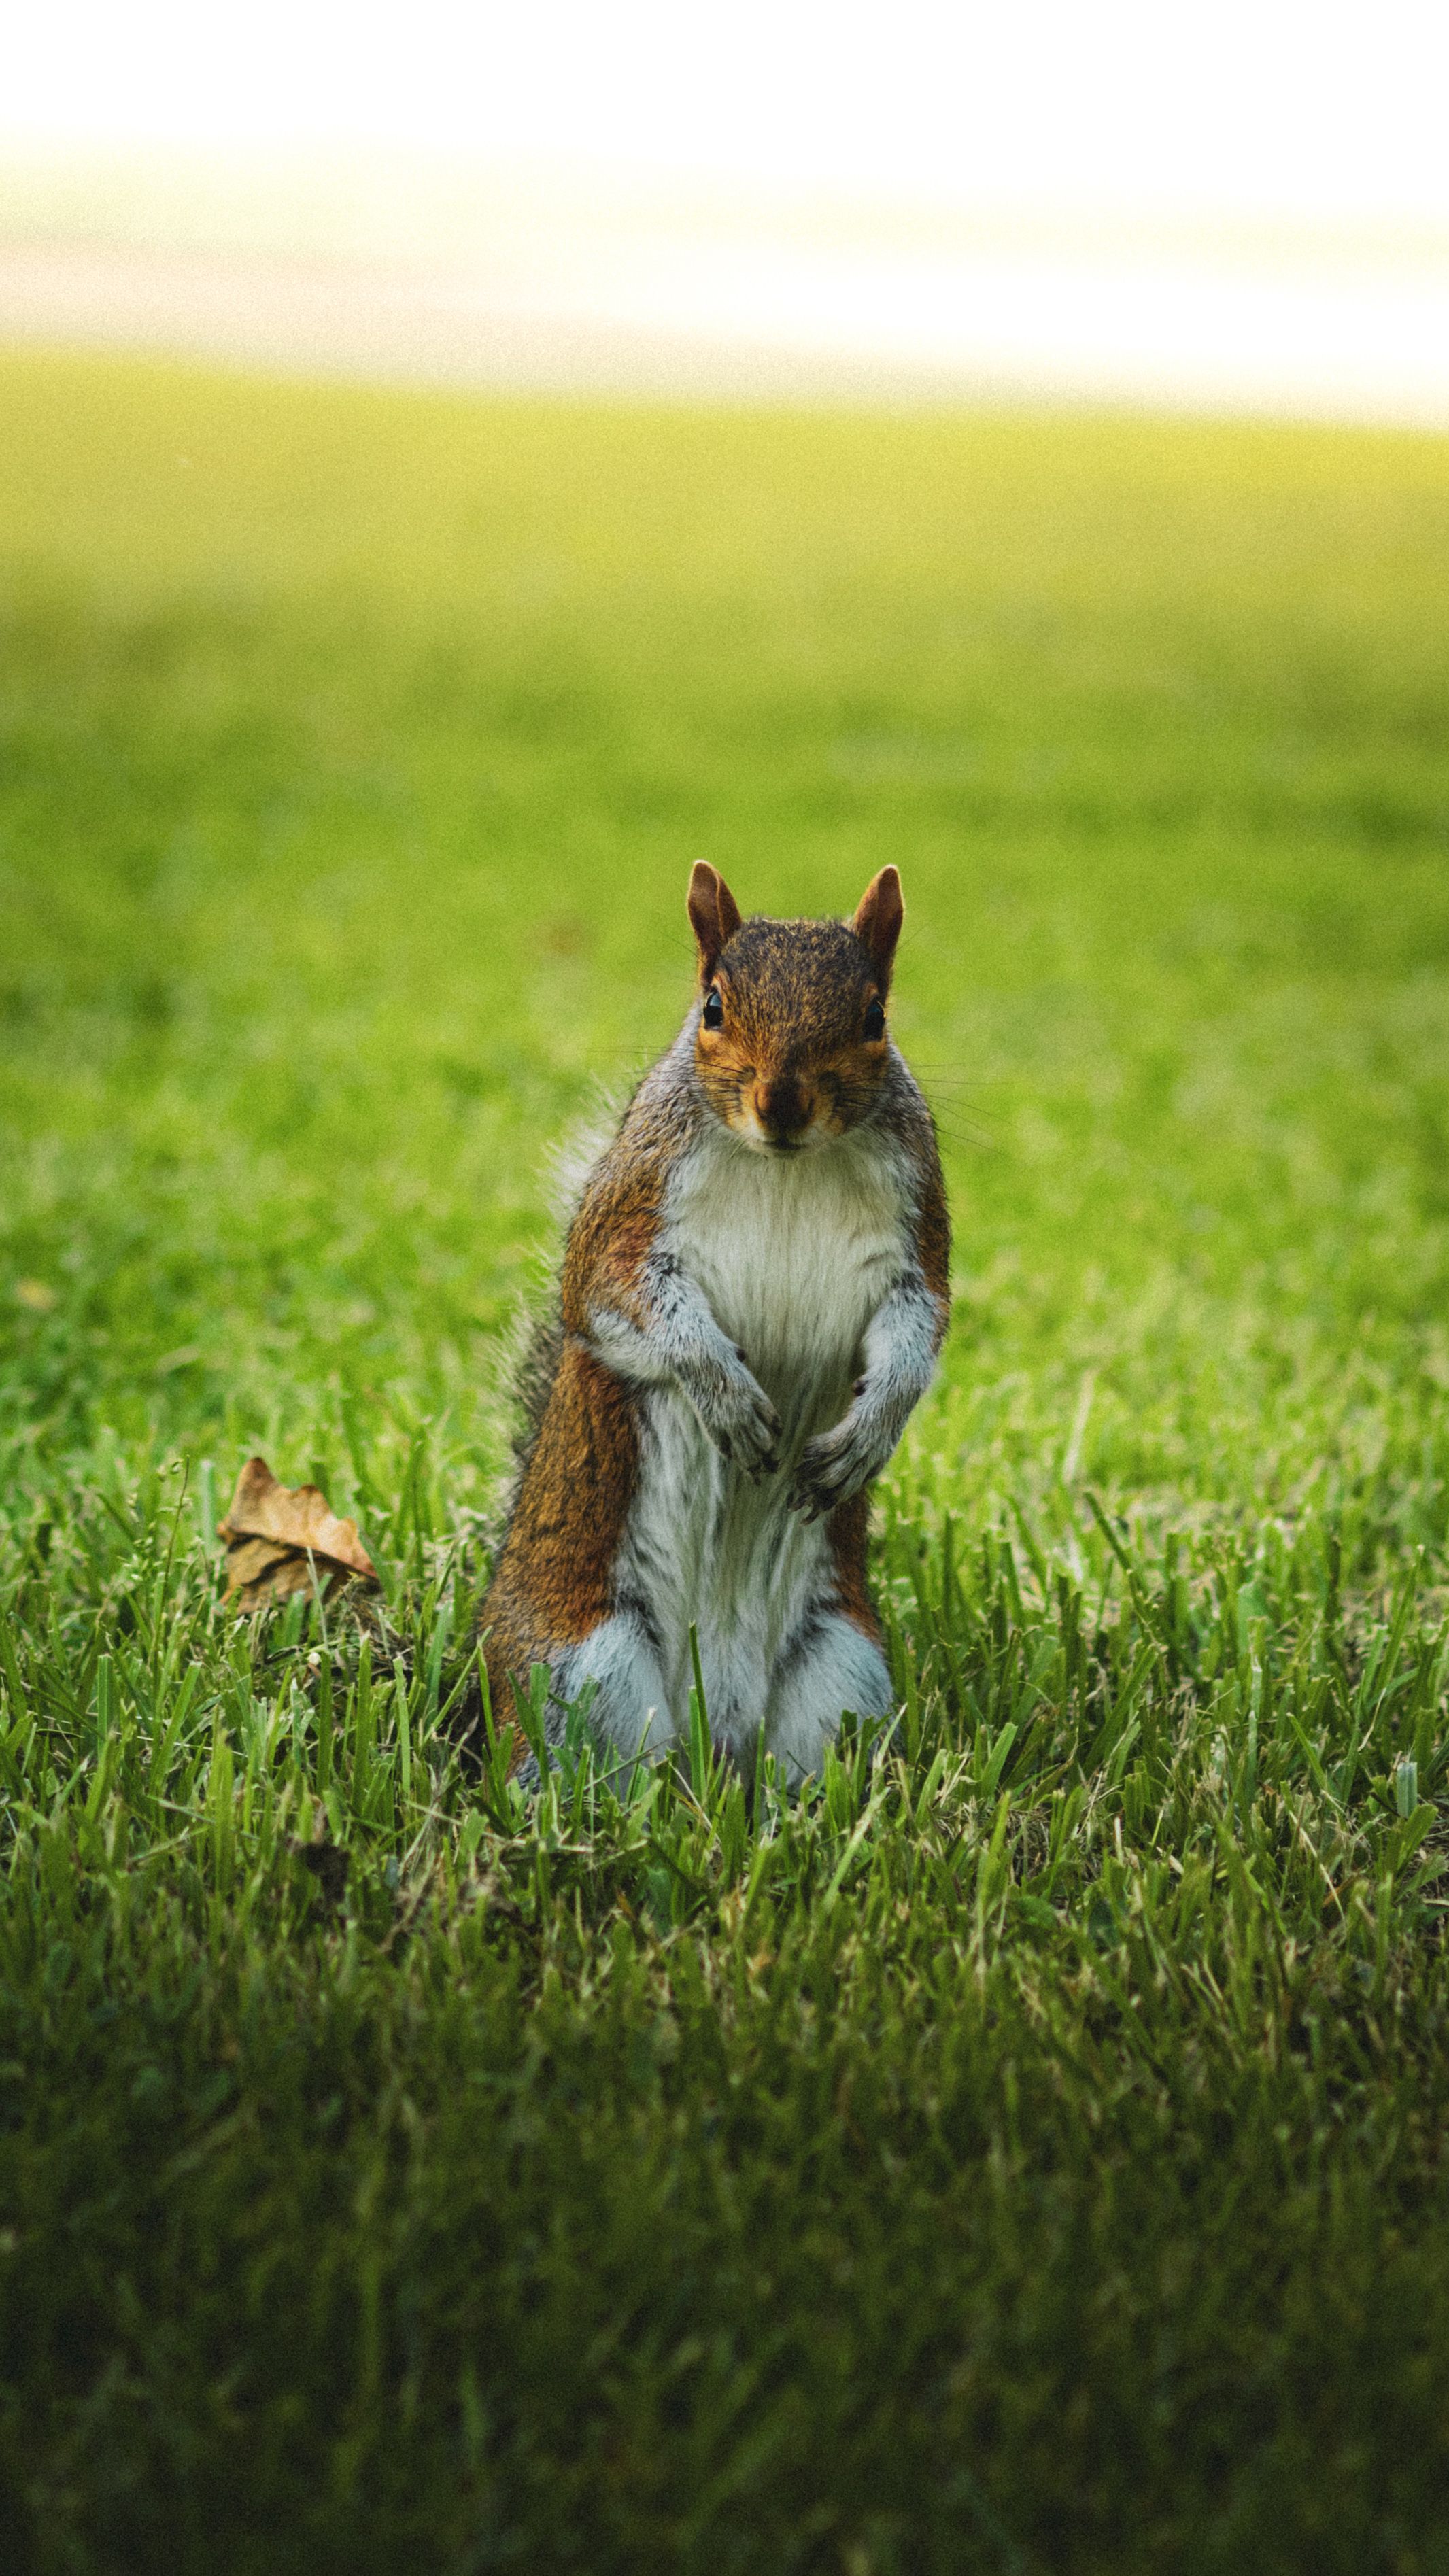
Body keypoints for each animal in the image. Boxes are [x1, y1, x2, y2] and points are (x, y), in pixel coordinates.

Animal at [482, 861, 950, 1786]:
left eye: (874, 1017)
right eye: (712, 1008)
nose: (783, 1103)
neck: (787, 1165)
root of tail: (717, 1733)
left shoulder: (918, 1233)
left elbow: (919, 1331)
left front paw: (871, 1431)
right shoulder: (631, 1214)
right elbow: (615, 1296)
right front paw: (726, 1396)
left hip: (841, 1670)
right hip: (580, 1674)